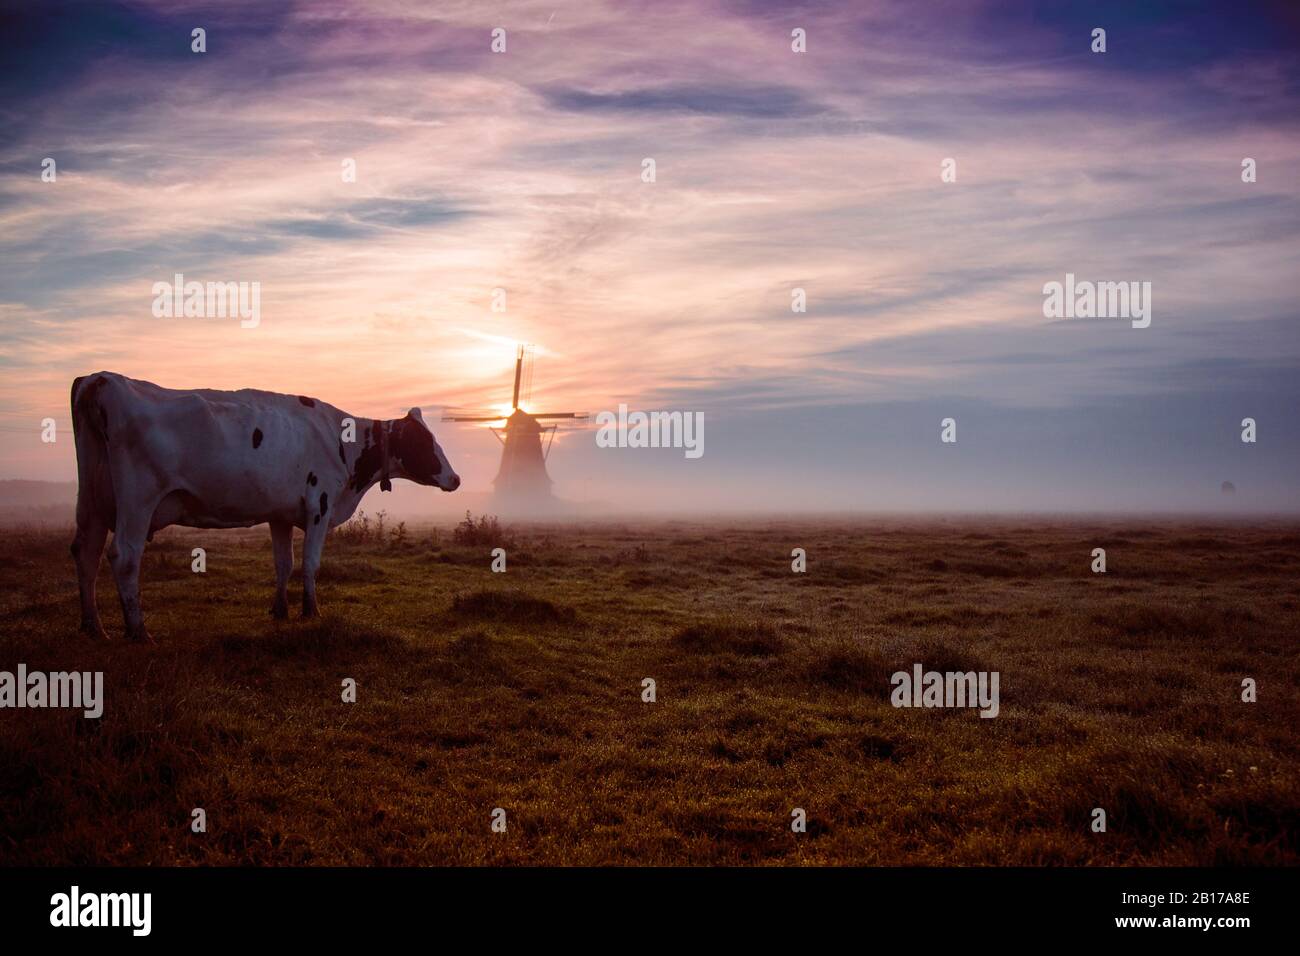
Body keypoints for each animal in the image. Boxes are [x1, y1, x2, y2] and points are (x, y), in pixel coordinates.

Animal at [70, 371, 460, 642]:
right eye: (424, 441)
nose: (456, 479)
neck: (345, 443)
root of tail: (101, 379)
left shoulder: (280, 515)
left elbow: (283, 563)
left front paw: (280, 610)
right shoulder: (320, 504)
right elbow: (310, 563)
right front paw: (310, 611)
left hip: (91, 499)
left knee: (86, 551)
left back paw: (93, 627)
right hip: (138, 499)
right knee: (124, 555)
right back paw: (138, 631)